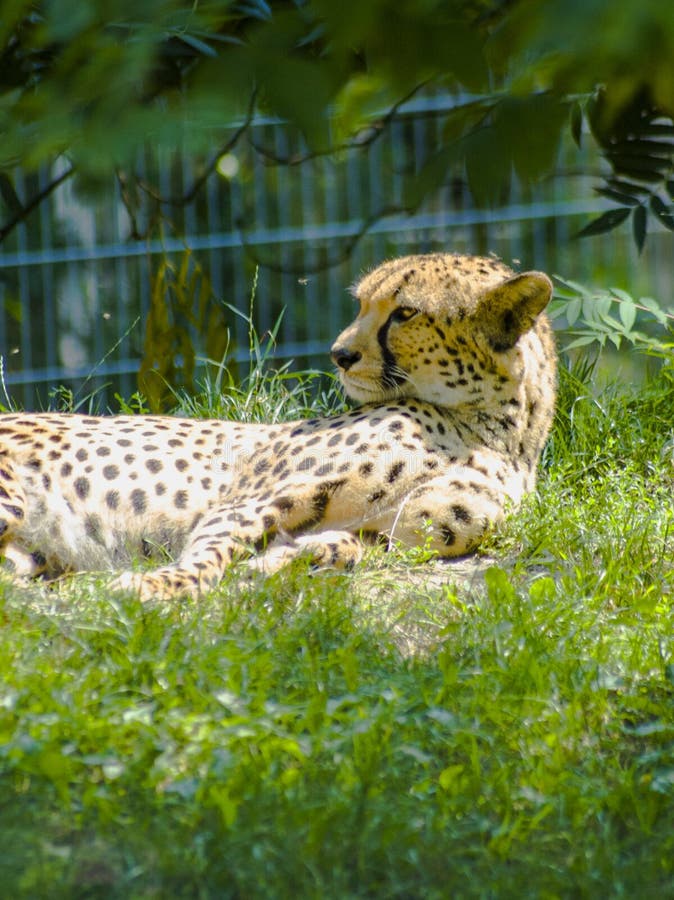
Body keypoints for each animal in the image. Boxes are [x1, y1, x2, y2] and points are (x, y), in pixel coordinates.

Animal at [0, 253, 556, 601]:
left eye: (405, 312)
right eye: (361, 304)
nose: (339, 354)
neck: (492, 429)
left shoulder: (402, 534)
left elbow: (347, 547)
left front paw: (285, 561)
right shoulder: (251, 498)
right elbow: (210, 551)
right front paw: (159, 586)